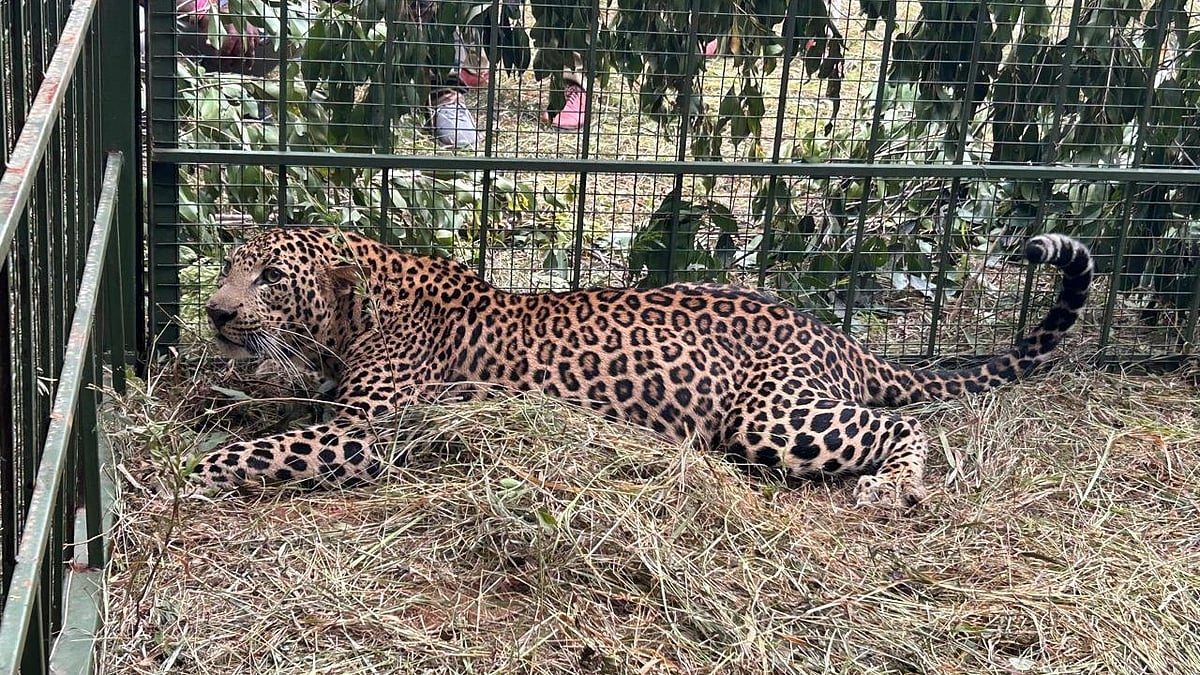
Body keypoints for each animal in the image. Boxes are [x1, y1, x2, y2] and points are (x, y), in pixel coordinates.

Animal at [192, 226, 1092, 508]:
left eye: (270, 276)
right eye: (233, 265)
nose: (216, 311)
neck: (353, 320)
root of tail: (837, 337)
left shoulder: (366, 434)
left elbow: (256, 452)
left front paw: (180, 477)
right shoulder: (327, 403)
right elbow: (260, 419)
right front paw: (212, 407)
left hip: (774, 414)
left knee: (903, 425)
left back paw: (891, 485)